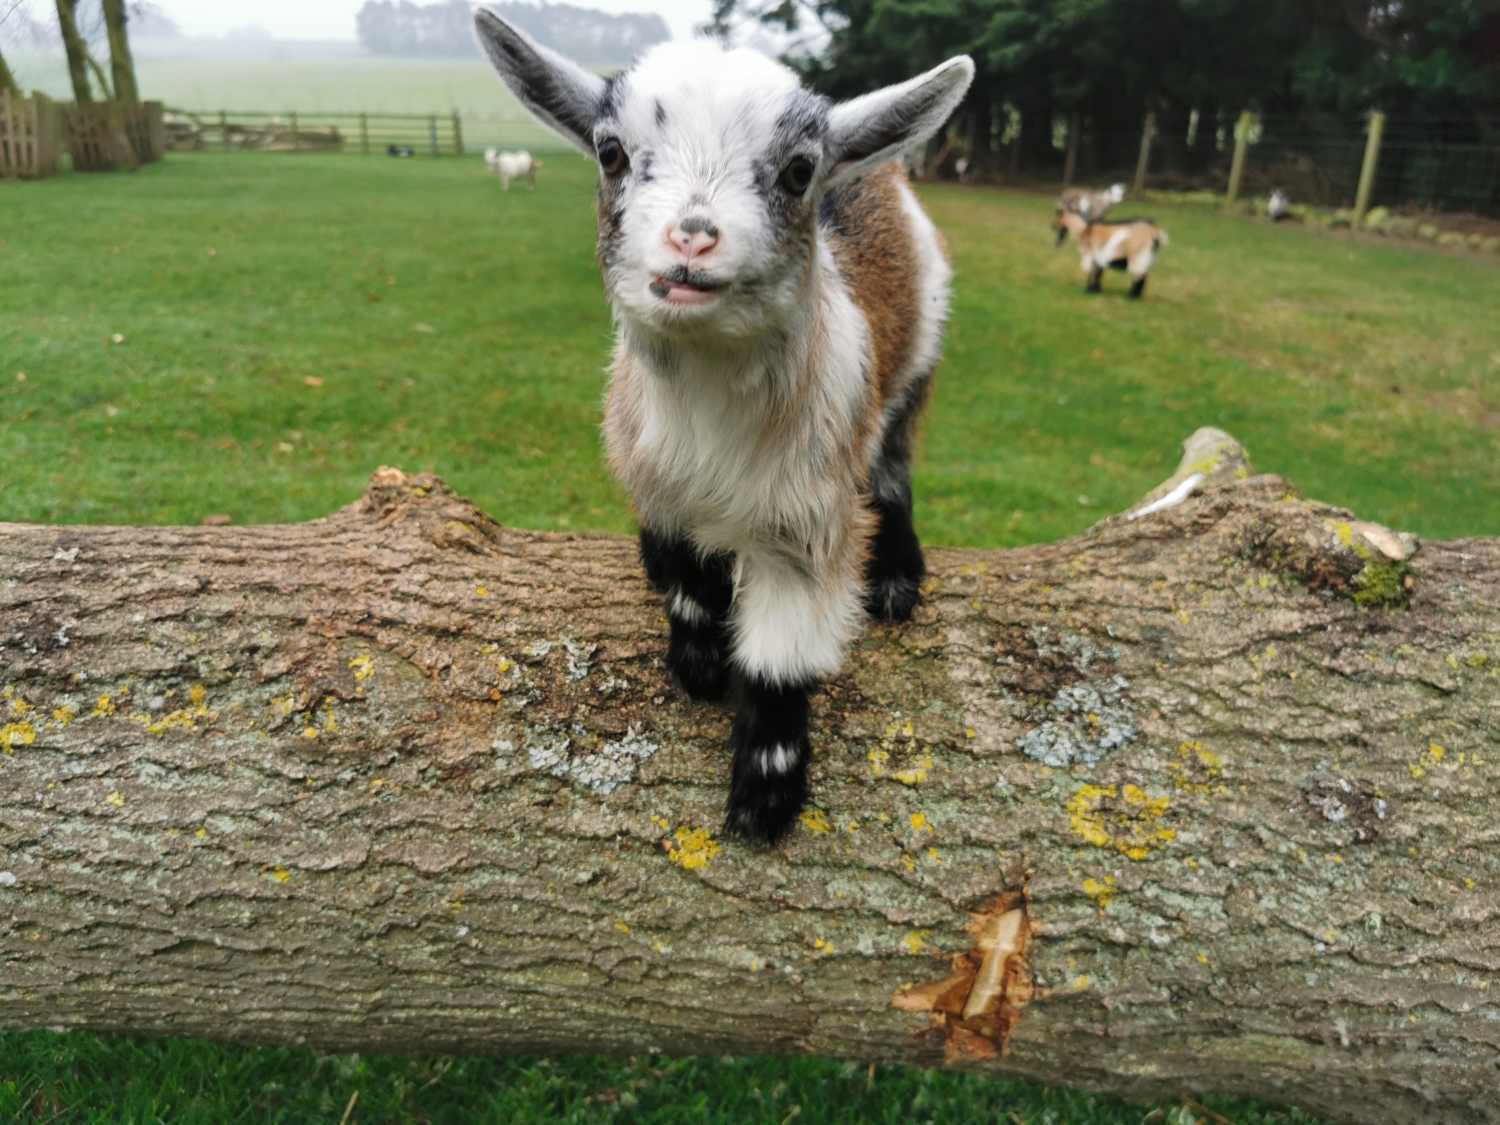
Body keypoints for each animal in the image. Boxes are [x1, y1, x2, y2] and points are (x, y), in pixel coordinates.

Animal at [475, 8, 973, 843]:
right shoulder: (656, 473)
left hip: (917, 359)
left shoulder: (807, 515)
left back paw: (897, 574)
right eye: (611, 152)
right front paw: (698, 655)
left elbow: (780, 657)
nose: (693, 237)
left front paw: (766, 790)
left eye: (799, 171)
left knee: (896, 461)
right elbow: (687, 576)